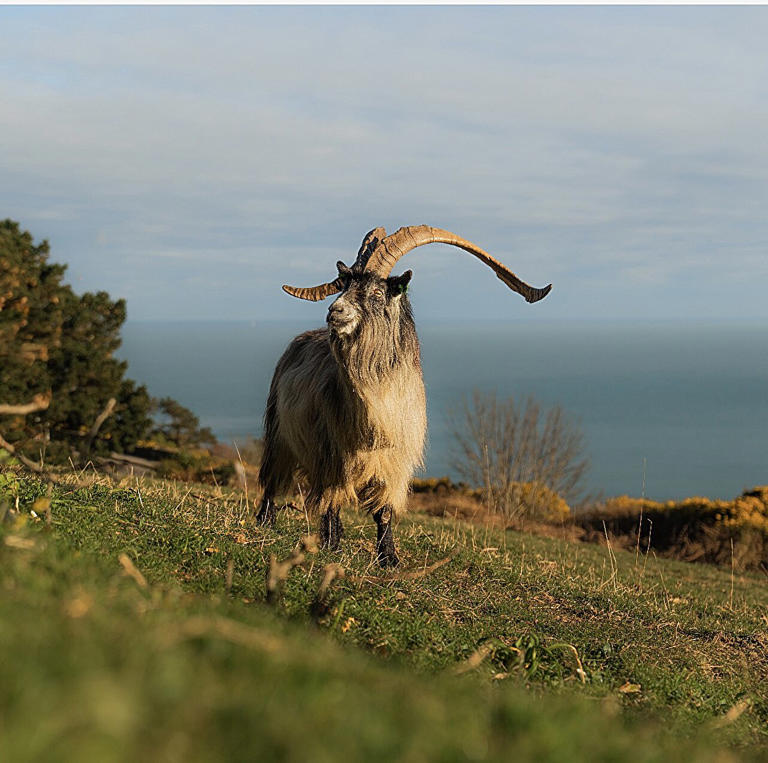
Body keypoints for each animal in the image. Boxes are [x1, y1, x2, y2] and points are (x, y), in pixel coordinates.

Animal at [256, 225, 551, 566]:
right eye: (345, 287)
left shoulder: (394, 463)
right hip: (279, 434)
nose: (334, 312)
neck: (377, 407)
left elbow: (384, 511)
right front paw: (332, 546)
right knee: (273, 480)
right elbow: (331, 501)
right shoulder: (332, 455)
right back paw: (266, 522)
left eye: (377, 293)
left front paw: (389, 558)